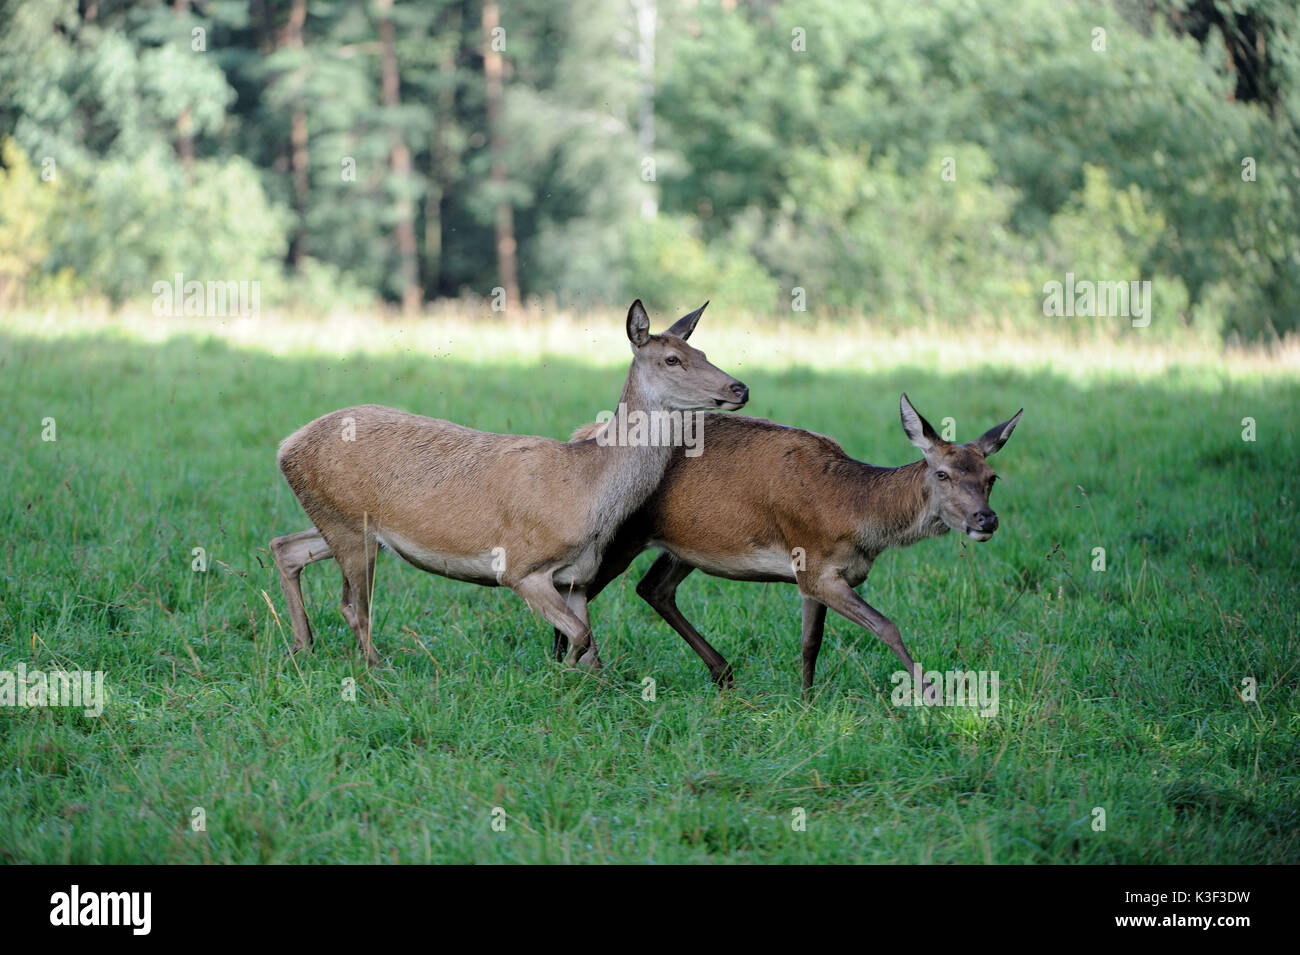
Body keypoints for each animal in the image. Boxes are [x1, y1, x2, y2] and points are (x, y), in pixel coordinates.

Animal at [268, 300, 748, 669]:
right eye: (672, 359)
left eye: (702, 350)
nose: (739, 388)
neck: (589, 490)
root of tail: (284, 447)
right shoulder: (520, 566)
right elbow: (579, 638)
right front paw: (561, 674)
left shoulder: (576, 579)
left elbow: (593, 650)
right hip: (349, 523)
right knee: (353, 605)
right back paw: (374, 667)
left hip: (342, 523)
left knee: (285, 547)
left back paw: (302, 647)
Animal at [554, 395, 1022, 697]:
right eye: (942, 474)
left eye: (991, 477)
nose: (986, 519)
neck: (856, 517)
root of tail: (580, 434)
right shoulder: (814, 566)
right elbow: (886, 624)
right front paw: (930, 693)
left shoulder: (815, 577)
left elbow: (810, 643)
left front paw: (806, 699)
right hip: (619, 535)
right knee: (575, 587)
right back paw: (567, 667)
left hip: (684, 547)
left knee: (652, 589)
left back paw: (723, 673)